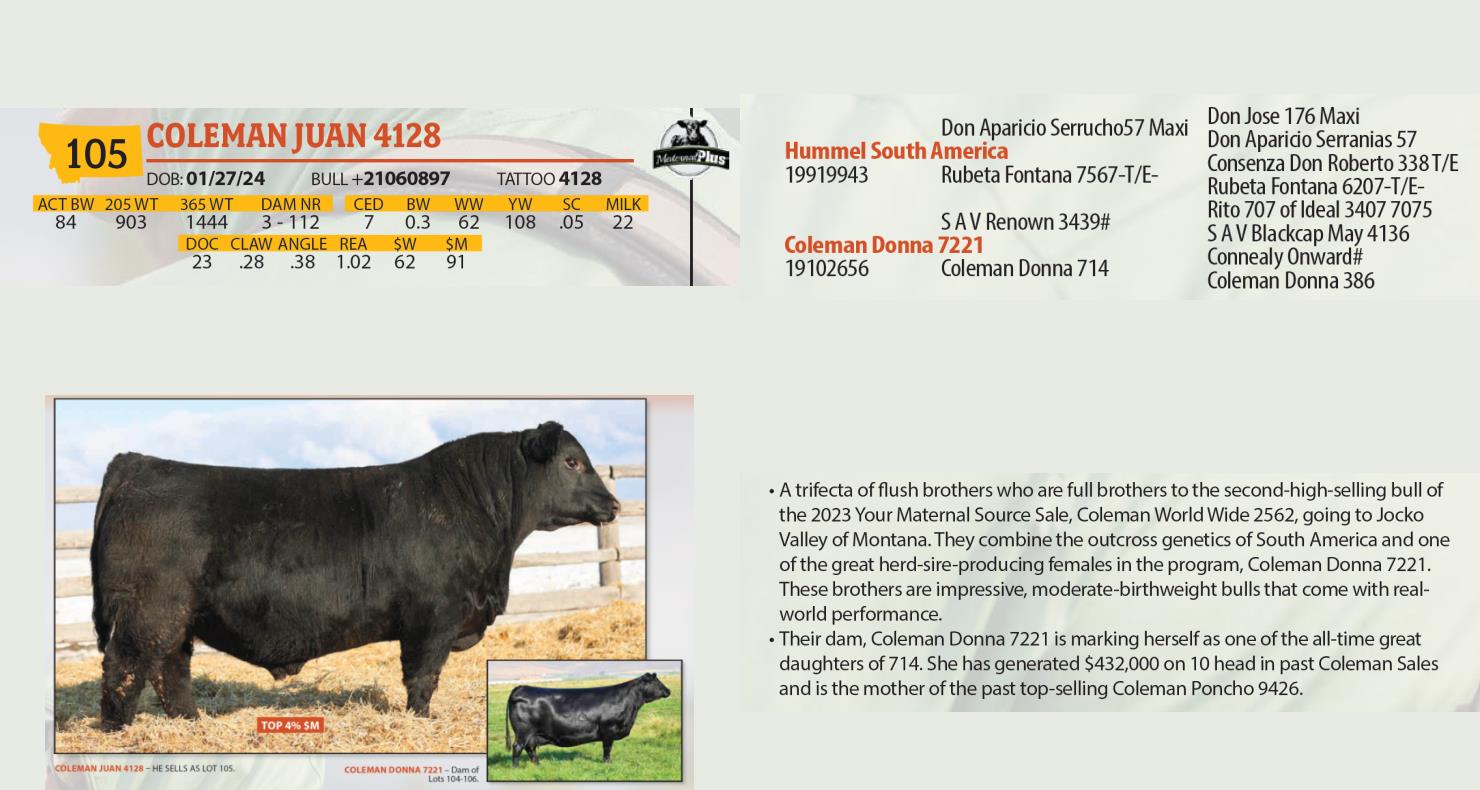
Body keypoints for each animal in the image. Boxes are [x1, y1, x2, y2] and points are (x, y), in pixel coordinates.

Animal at [88, 421, 622, 731]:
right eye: (572, 461)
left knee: (169, 670)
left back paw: (191, 722)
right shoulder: (433, 618)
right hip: (148, 610)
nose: (614, 504)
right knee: (124, 669)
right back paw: (118, 730)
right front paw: (421, 720)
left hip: (176, 617)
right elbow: (423, 676)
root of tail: (136, 464)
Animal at [505, 672, 671, 766]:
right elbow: (607, 748)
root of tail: (521, 687)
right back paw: (516, 768)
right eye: (656, 682)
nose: (668, 691)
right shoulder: (608, 729)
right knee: (518, 747)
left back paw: (538, 764)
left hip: (532, 734)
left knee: (530, 748)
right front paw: (608, 763)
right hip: (523, 732)